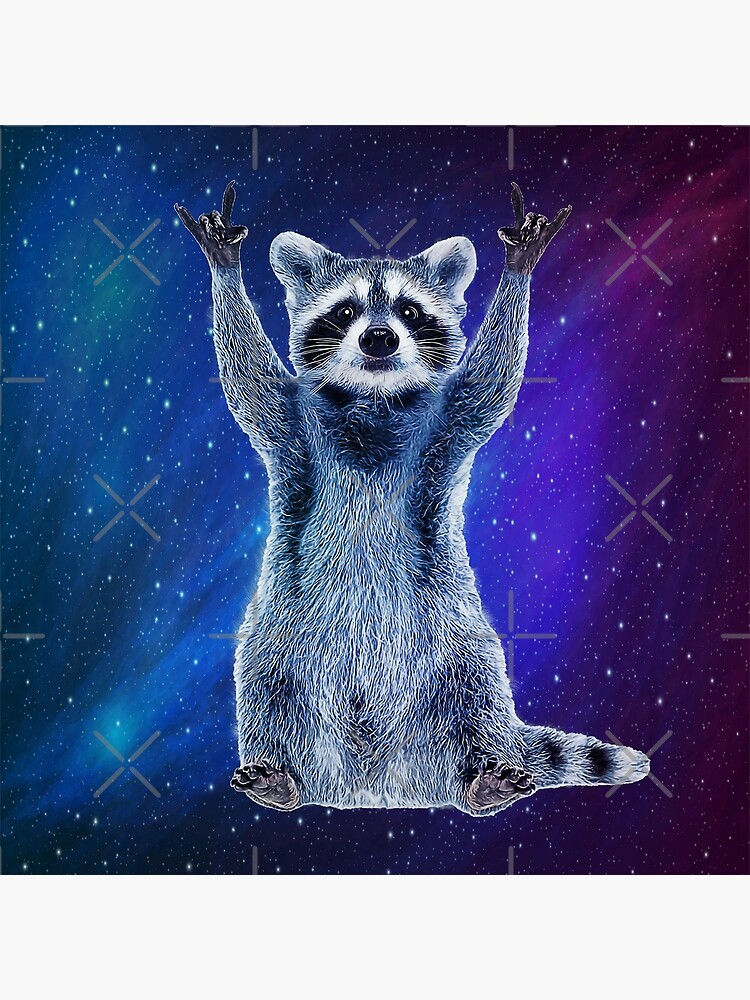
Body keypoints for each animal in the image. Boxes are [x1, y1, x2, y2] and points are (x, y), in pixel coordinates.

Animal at [176, 182, 650, 815]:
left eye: (409, 311)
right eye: (345, 311)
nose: (379, 338)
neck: (374, 397)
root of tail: (378, 784)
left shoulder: (447, 423)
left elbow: (490, 384)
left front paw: (518, 268)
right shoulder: (292, 423)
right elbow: (248, 379)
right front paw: (224, 266)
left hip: (458, 642)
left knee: (479, 693)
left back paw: (482, 781)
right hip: (281, 629)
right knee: (265, 682)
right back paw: (282, 775)